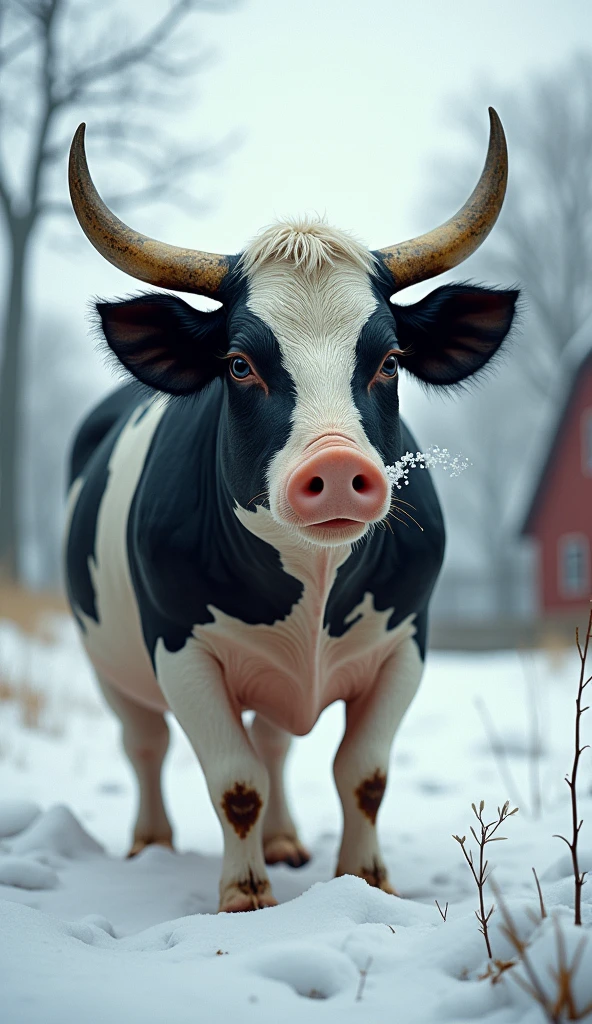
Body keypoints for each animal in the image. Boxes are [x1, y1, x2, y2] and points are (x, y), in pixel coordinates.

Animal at [65, 109, 518, 912]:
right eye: (239, 365)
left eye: (390, 360)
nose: (335, 468)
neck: (312, 579)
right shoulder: (178, 648)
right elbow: (233, 780)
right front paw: (245, 895)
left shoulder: (407, 641)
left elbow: (362, 774)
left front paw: (366, 880)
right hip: (110, 664)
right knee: (145, 745)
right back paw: (151, 843)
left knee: (273, 738)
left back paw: (282, 839)